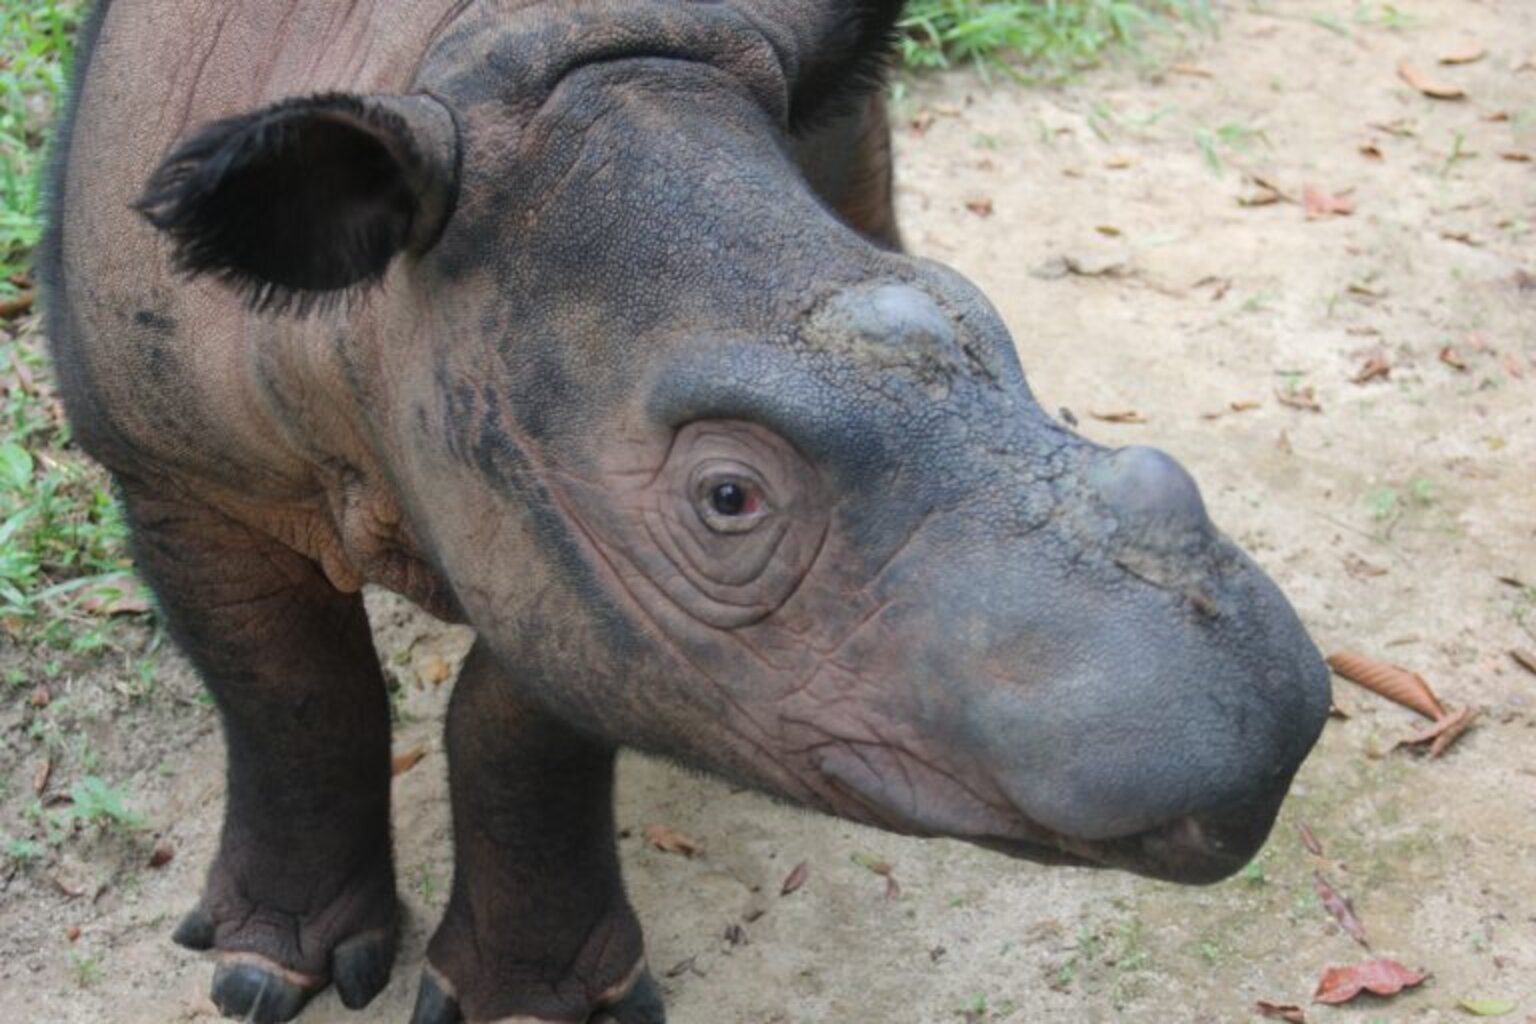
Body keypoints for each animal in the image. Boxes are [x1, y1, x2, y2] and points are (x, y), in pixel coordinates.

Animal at [41, 2, 1330, 1022]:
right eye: (728, 498)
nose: (1263, 735)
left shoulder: (568, 549)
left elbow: (519, 731)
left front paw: (526, 1005)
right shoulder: (176, 467)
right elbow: (289, 695)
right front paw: (262, 970)